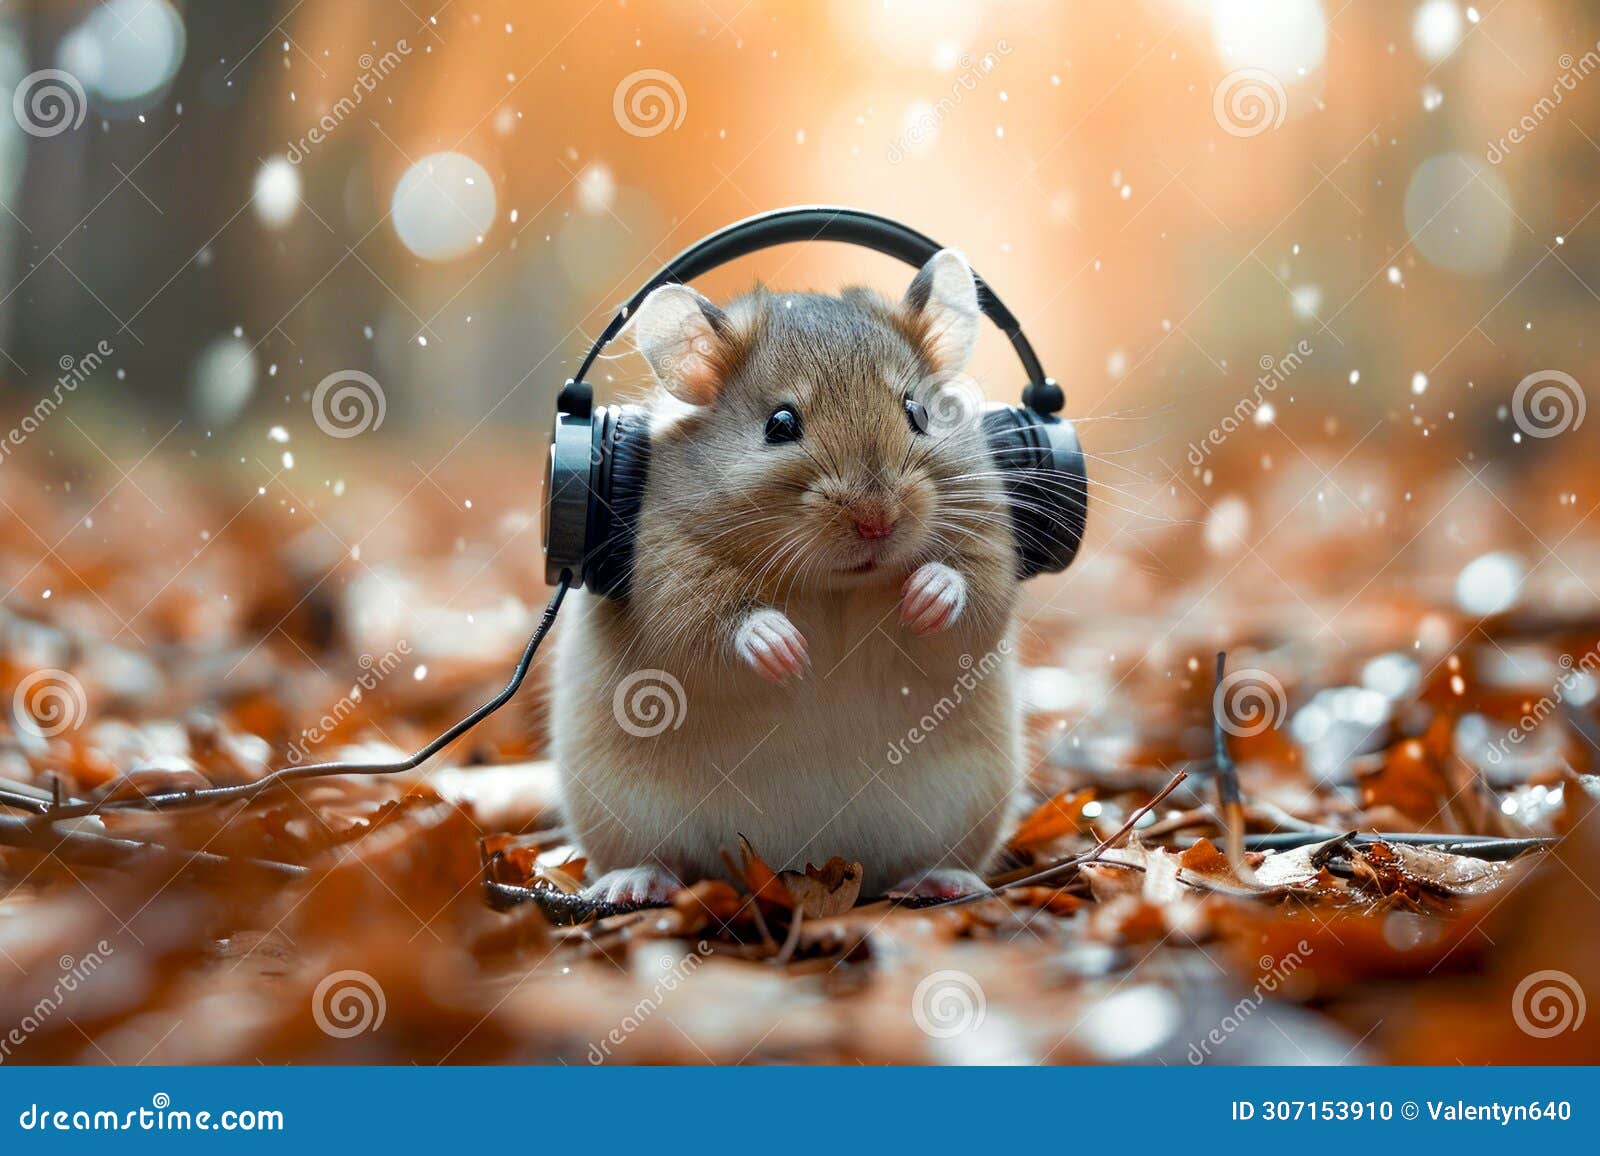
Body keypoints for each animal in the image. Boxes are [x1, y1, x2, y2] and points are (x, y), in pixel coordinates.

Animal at [550, 249, 1023, 905]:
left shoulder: (990, 543)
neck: (834, 584)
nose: (878, 521)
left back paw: (943, 880)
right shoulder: (666, 571)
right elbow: (713, 627)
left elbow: (972, 596)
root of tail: (801, 860)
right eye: (779, 424)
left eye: (918, 412)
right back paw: (636, 882)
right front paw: (784, 648)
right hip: (621, 813)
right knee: (657, 860)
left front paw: (928, 594)